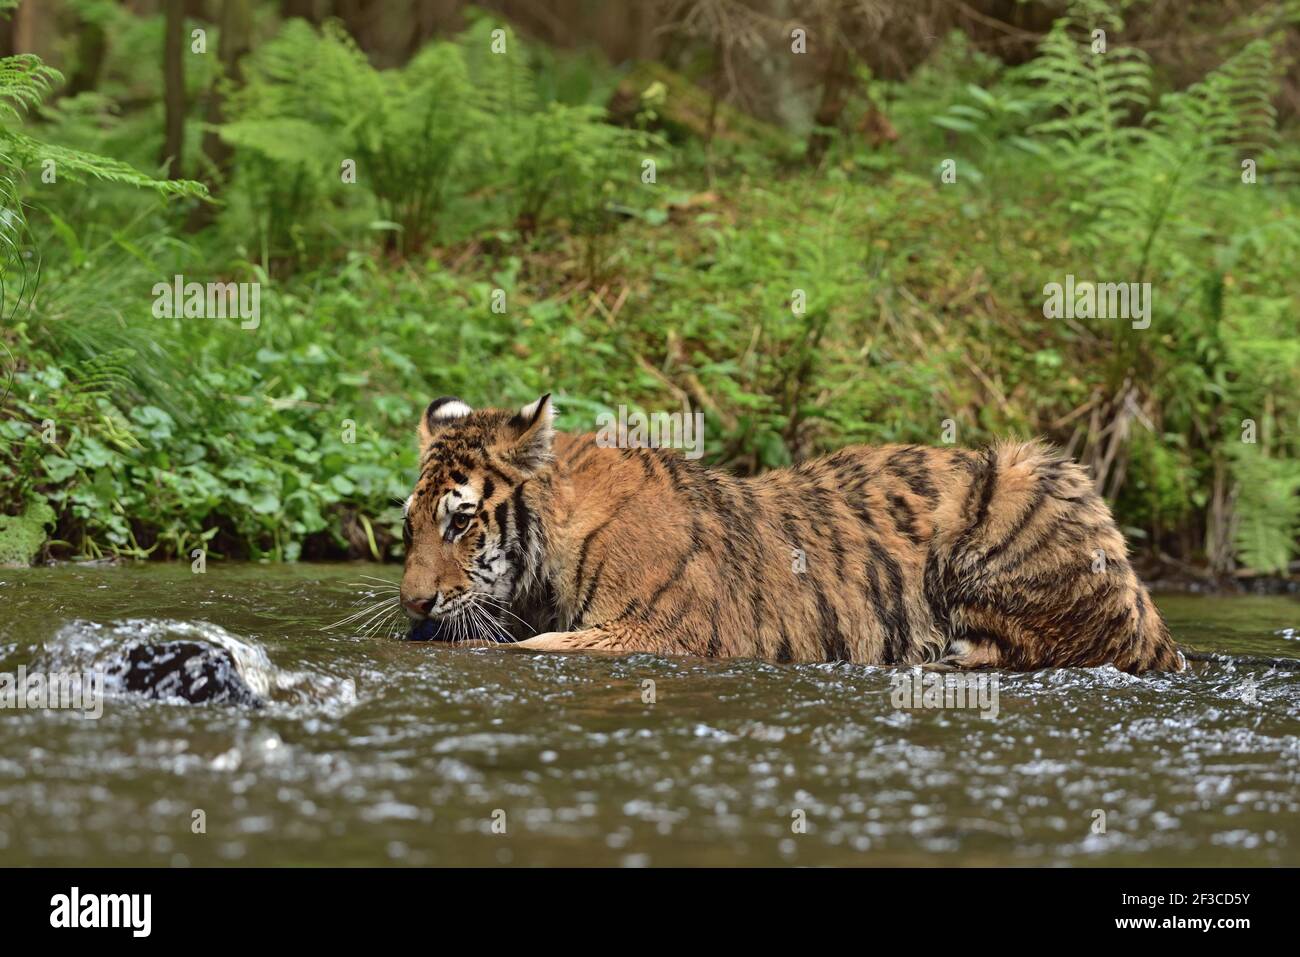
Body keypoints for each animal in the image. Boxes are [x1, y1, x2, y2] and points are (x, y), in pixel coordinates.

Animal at [397, 393, 1185, 673]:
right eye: (408, 525)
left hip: (1025, 472)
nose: (412, 603)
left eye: (461, 520)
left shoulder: (654, 634)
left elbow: (528, 647)